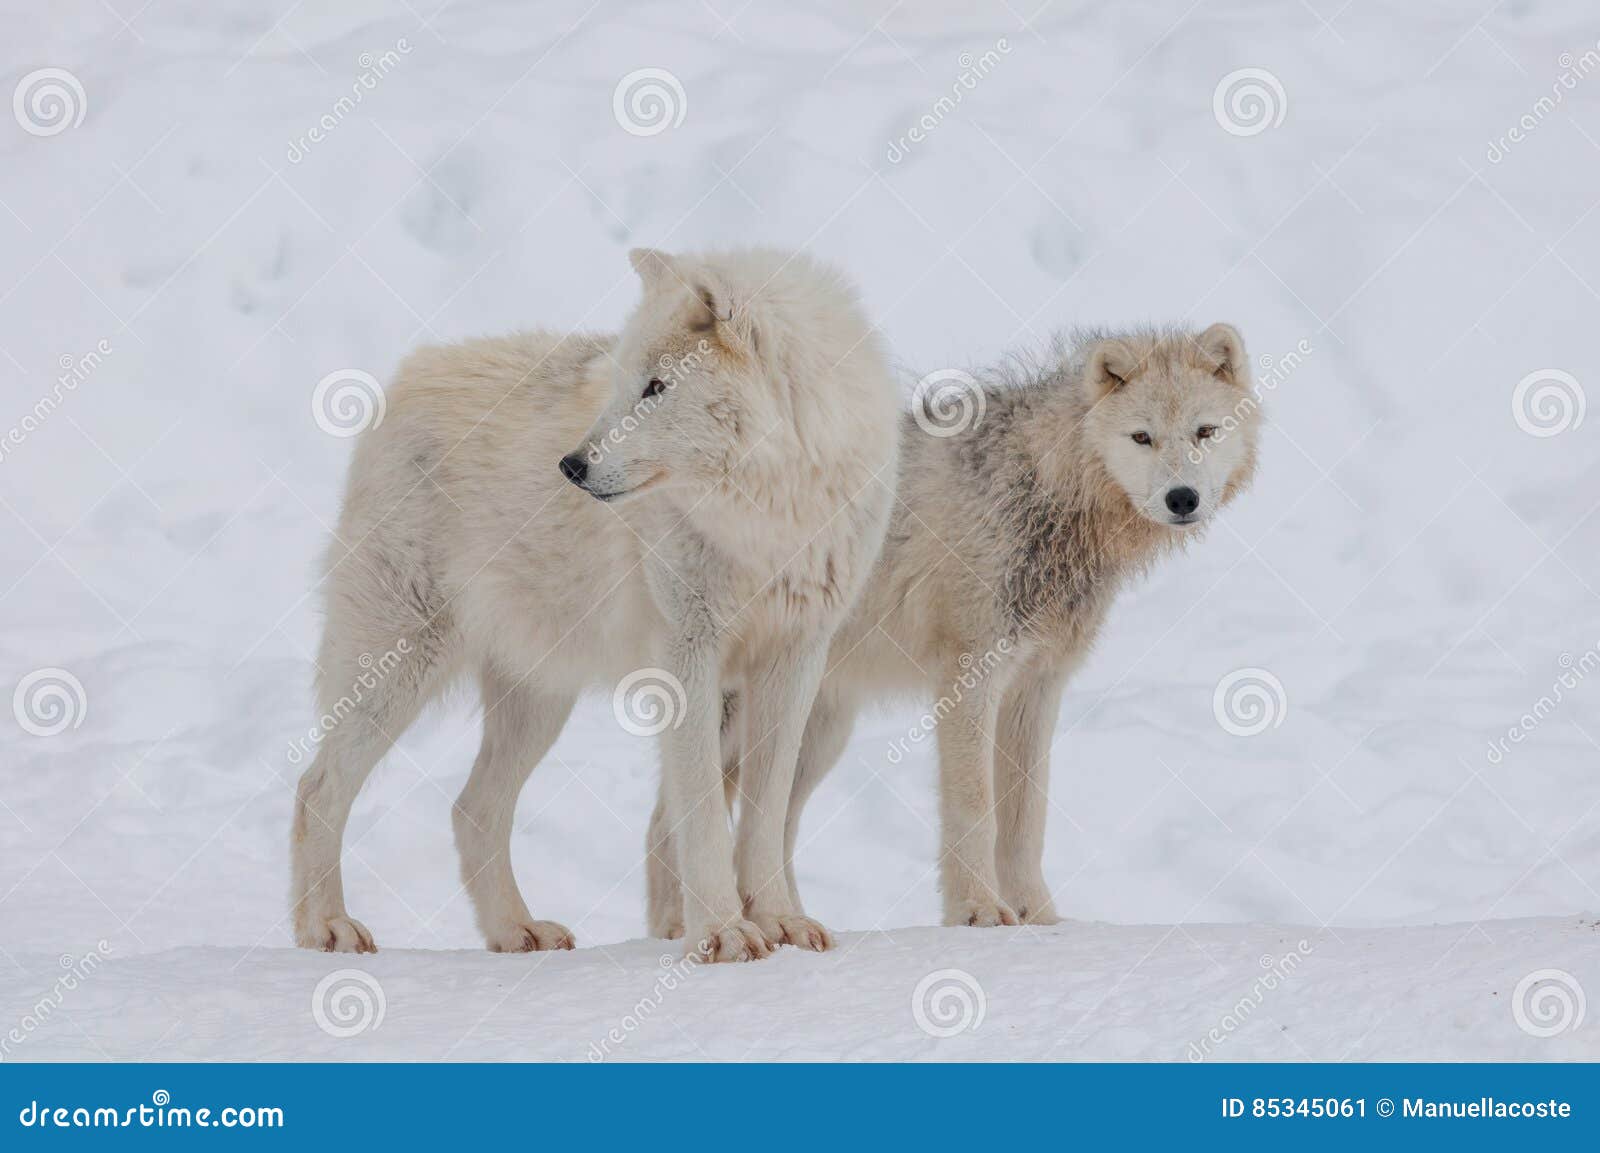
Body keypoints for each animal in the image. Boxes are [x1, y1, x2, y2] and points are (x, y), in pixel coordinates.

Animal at [290, 247, 900, 961]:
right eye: (621, 382)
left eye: (657, 388)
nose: (572, 467)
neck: (766, 513)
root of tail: (409, 374)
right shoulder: (688, 654)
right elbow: (700, 813)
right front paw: (722, 933)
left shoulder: (797, 656)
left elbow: (766, 815)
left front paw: (780, 922)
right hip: (400, 667)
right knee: (316, 788)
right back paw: (326, 927)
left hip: (539, 696)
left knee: (472, 808)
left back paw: (515, 930)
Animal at [647, 324, 1261, 935]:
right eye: (1142, 438)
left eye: (1205, 431)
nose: (1182, 498)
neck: (1043, 488)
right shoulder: (970, 677)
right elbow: (975, 809)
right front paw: (979, 913)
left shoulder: (1037, 687)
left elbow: (1026, 820)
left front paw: (1041, 921)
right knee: (667, 824)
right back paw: (689, 933)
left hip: (814, 732)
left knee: (770, 826)